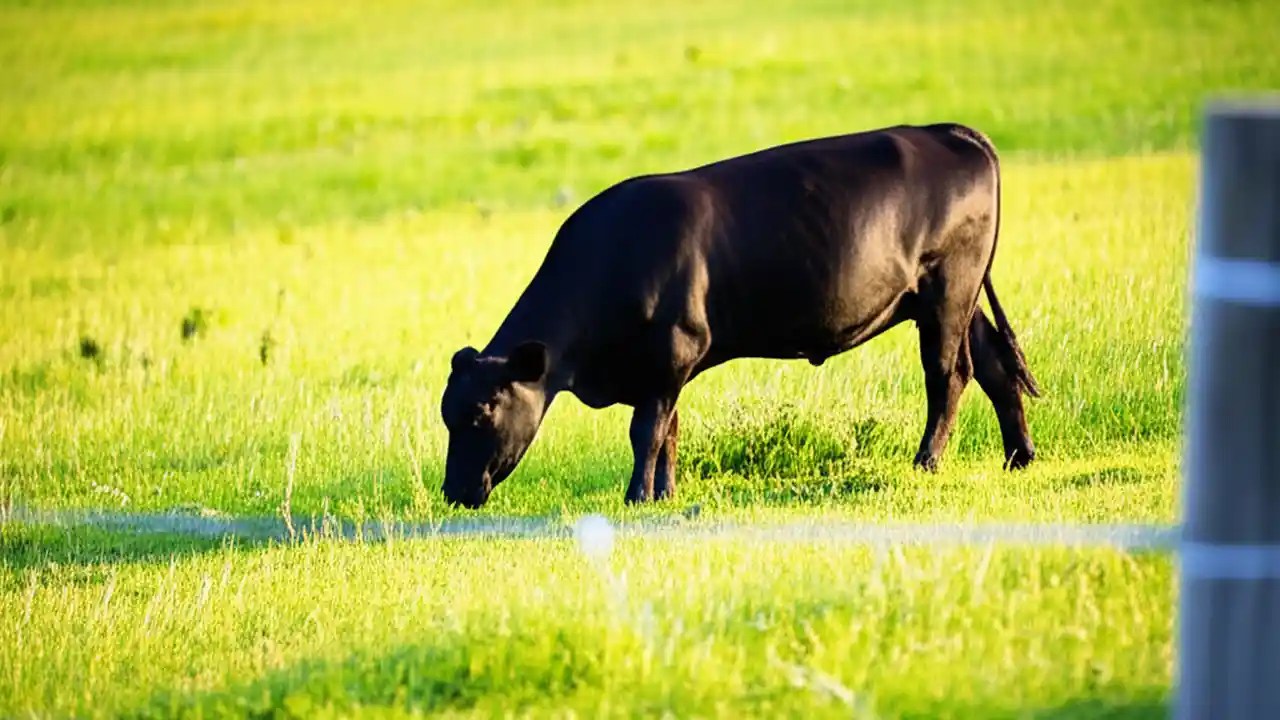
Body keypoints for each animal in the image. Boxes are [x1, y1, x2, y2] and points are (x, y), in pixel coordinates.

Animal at [439, 122, 1040, 509]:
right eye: (447, 415)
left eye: (481, 413)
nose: (452, 493)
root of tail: (950, 131)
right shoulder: (663, 369)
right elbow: (670, 432)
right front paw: (664, 496)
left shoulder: (673, 351)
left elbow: (646, 432)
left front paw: (636, 498)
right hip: (952, 299)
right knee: (993, 365)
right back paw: (1020, 457)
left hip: (948, 289)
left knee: (949, 374)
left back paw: (927, 462)